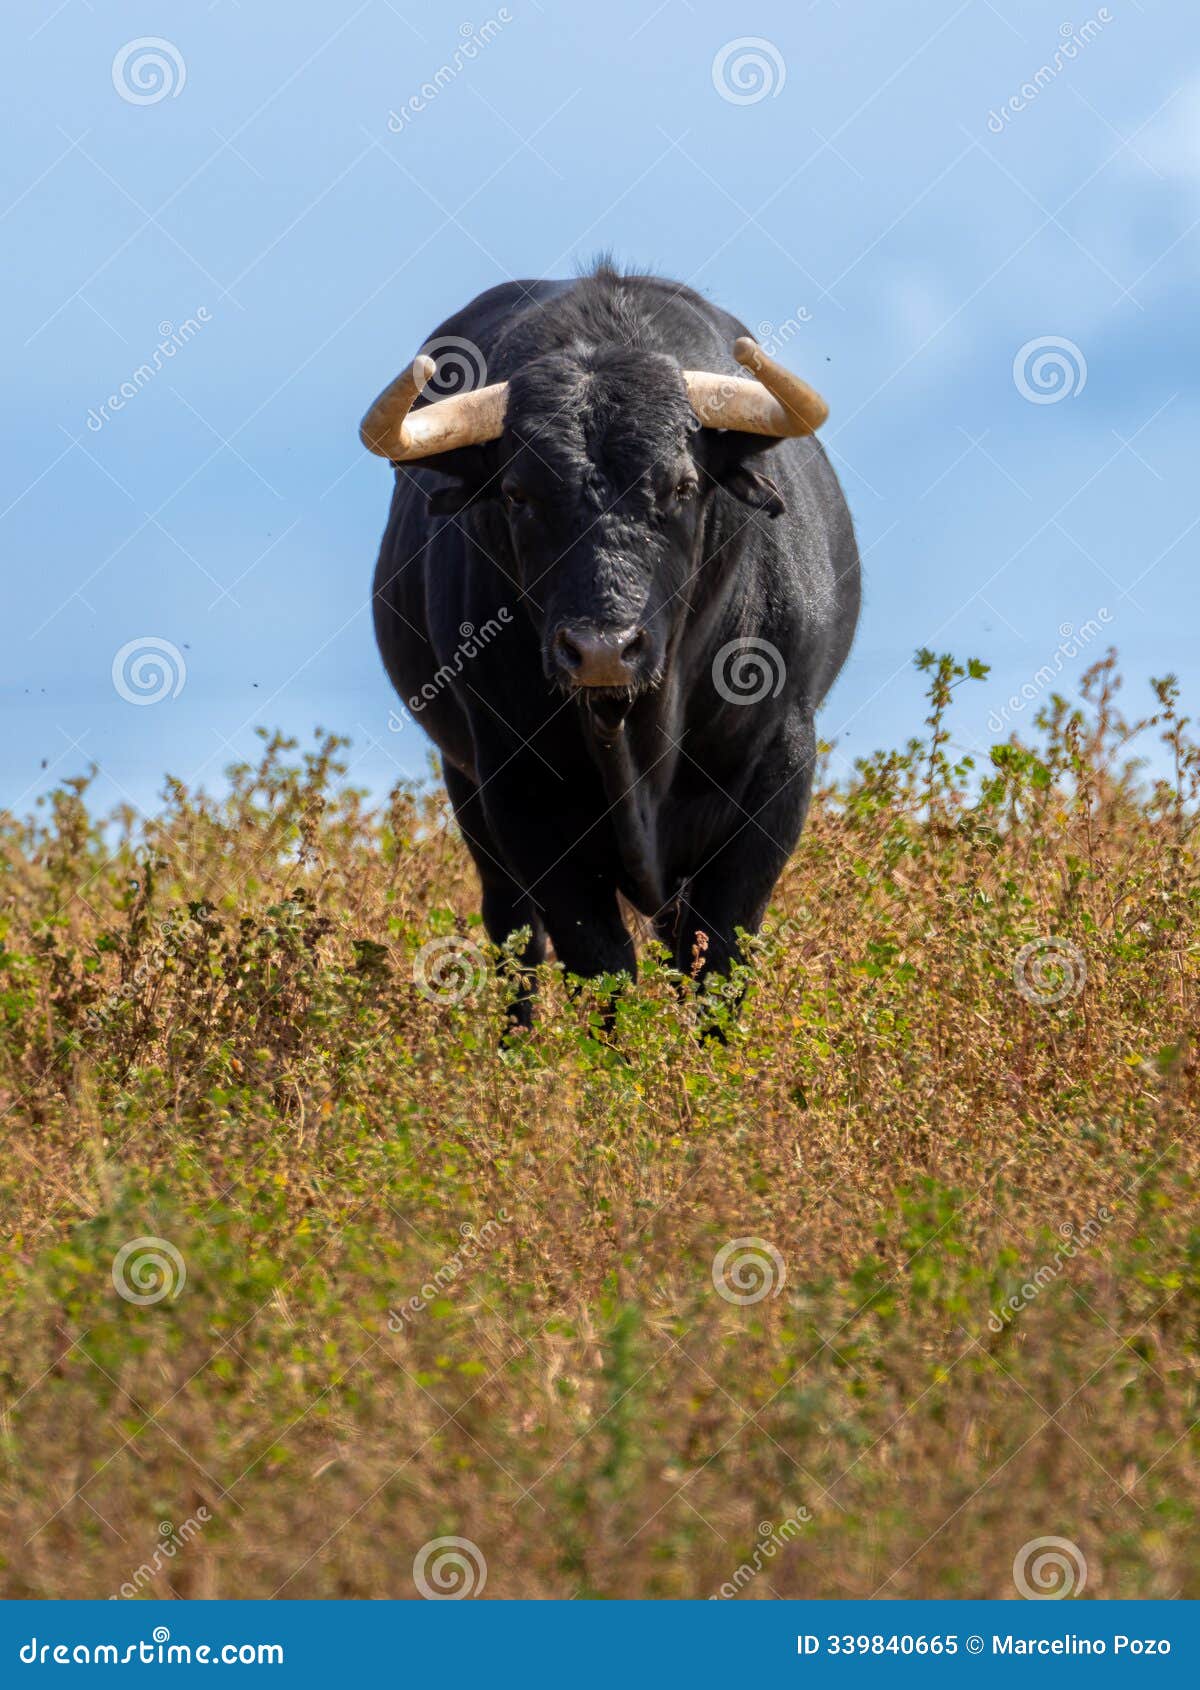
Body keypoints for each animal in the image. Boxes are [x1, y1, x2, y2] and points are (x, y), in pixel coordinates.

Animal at [363, 264, 860, 1026]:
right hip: (467, 789)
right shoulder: (516, 787)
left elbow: (718, 959)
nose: (602, 650)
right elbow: (598, 965)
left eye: (682, 485)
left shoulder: (781, 767)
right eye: (517, 494)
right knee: (513, 935)